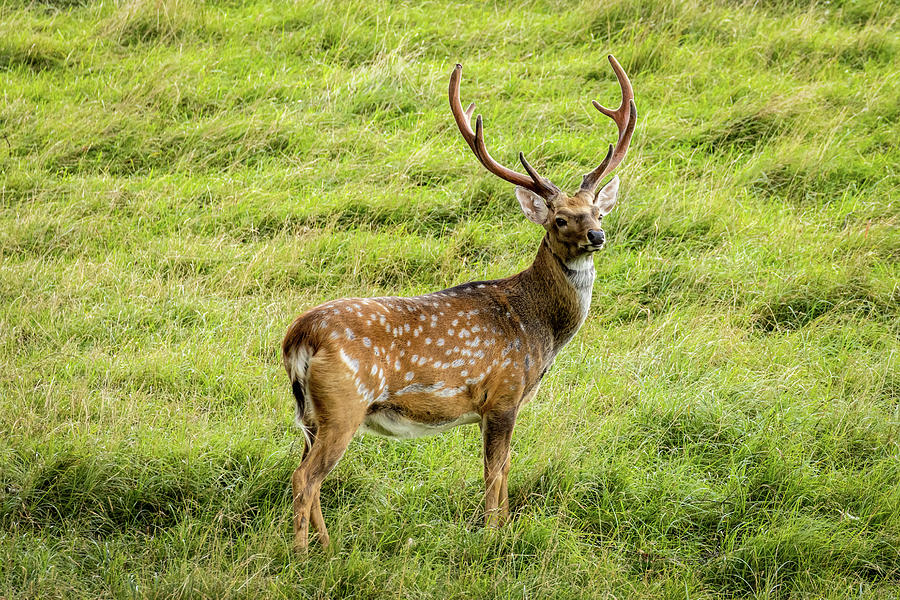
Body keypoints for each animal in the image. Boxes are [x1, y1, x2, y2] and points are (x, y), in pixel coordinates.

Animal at [282, 55, 636, 552]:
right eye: (560, 219)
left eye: (598, 211)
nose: (597, 235)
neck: (539, 330)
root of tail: (297, 337)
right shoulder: (503, 394)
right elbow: (494, 475)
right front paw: (494, 539)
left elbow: (504, 472)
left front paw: (503, 531)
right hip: (344, 403)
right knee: (305, 479)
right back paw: (303, 556)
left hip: (311, 415)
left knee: (306, 474)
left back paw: (327, 548)